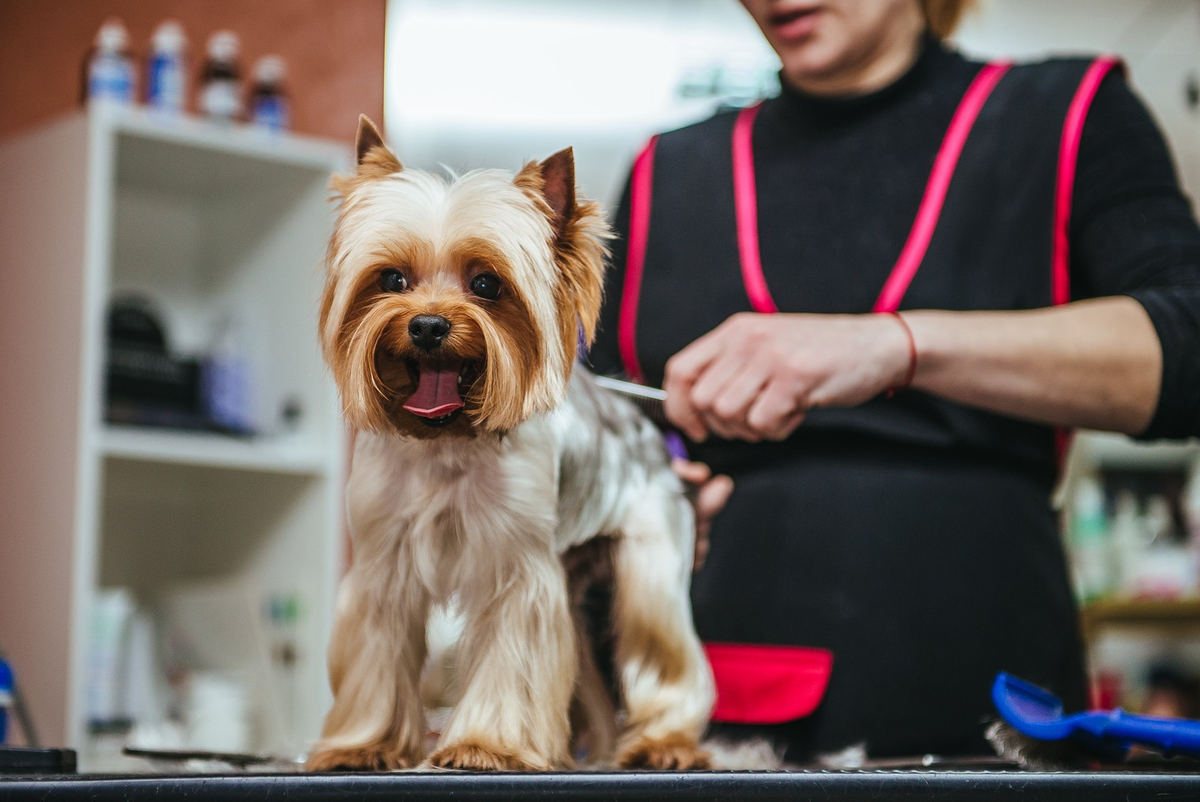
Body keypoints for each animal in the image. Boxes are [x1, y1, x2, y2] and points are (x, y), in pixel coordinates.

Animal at [307, 117, 710, 768]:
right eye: (392, 279)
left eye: (486, 283)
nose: (427, 325)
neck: (448, 437)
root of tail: (648, 429)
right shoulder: (382, 562)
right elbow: (377, 656)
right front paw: (363, 745)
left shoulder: (518, 571)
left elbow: (511, 658)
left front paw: (482, 746)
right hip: (571, 576)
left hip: (651, 560)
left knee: (663, 648)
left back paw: (664, 743)